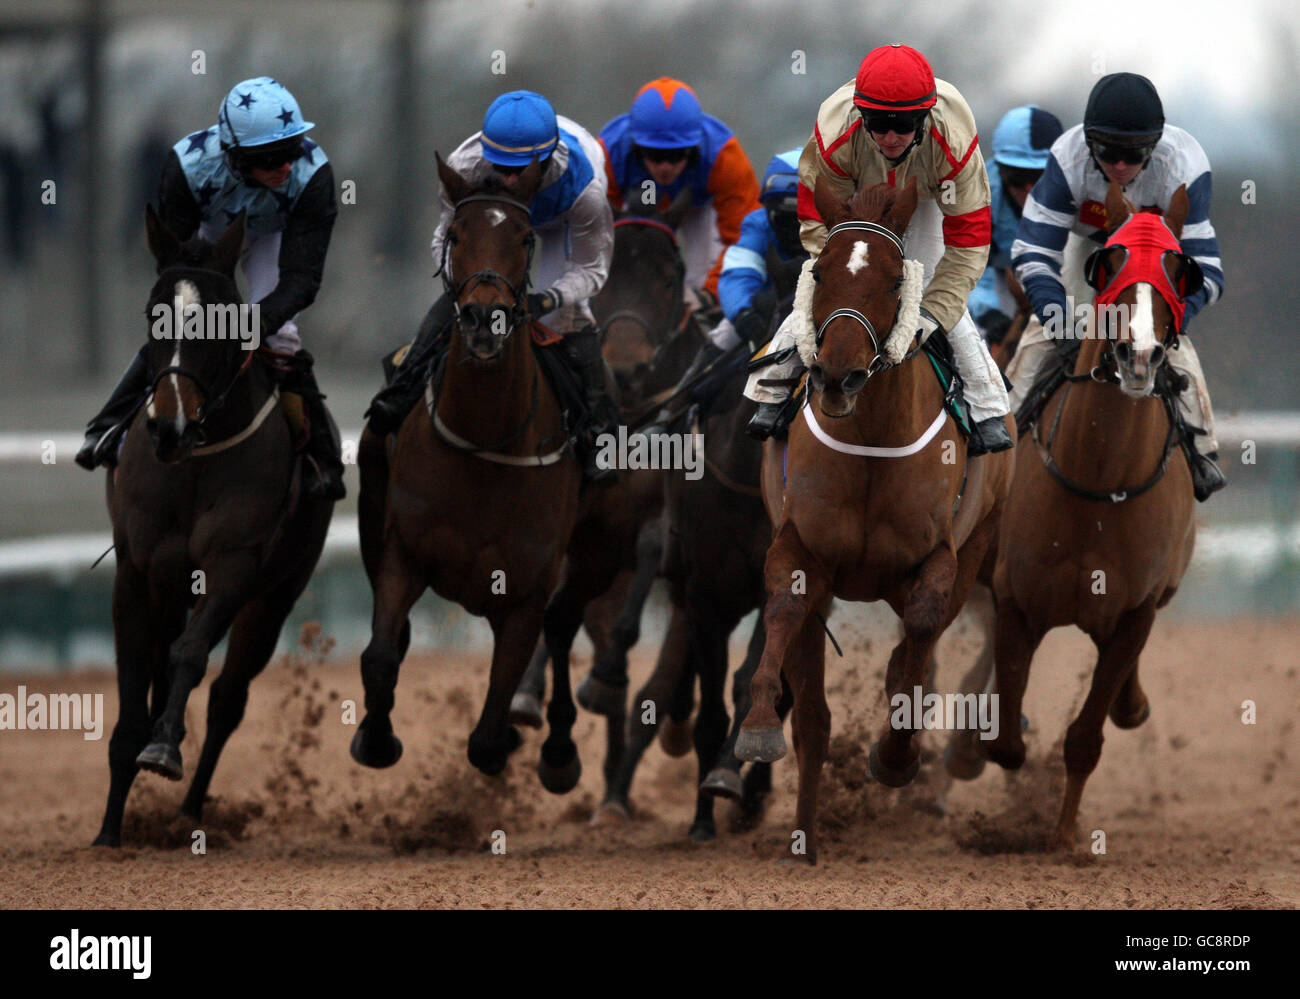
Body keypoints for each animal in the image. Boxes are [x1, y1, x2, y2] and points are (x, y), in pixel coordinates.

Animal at [94, 206, 333, 846]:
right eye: (153, 313)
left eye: (220, 321)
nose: (169, 426)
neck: (194, 462)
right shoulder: (137, 570)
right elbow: (134, 689)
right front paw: (108, 833)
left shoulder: (233, 566)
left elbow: (190, 655)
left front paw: (163, 750)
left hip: (277, 593)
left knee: (229, 697)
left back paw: (190, 811)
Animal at [353, 156, 585, 792]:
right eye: (455, 236)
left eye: (526, 238)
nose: (485, 318)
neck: (485, 439)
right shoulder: (404, 551)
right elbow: (380, 655)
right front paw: (376, 739)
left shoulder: (528, 591)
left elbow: (489, 726)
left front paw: (508, 741)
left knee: (562, 633)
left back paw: (557, 751)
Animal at [735, 178, 1015, 863]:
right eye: (819, 272)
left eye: (894, 283)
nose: (837, 375)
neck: (870, 439)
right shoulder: (800, 548)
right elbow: (786, 611)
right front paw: (758, 726)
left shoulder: (939, 559)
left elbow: (922, 627)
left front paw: (895, 754)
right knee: (814, 715)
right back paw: (804, 838)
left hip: (979, 545)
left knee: (920, 642)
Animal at [947, 181, 1198, 850]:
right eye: (1110, 262)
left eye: (1178, 268)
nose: (1140, 355)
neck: (1099, 485)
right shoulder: (1016, 599)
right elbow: (1007, 740)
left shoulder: (1135, 612)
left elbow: (1086, 737)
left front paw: (1063, 837)